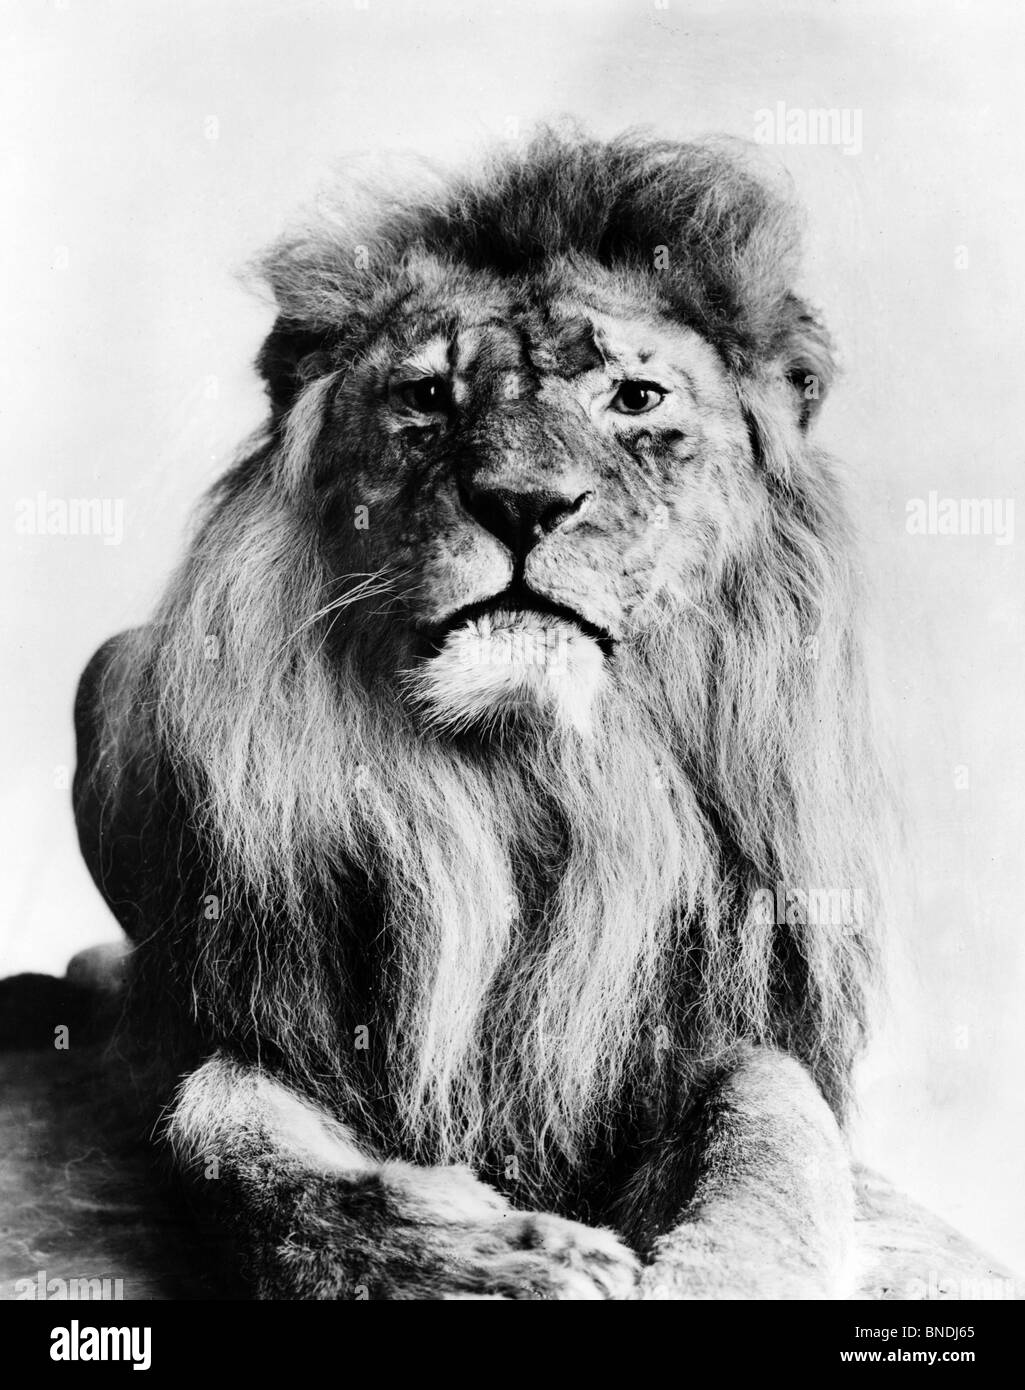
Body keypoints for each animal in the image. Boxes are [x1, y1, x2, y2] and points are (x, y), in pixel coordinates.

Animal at [72, 128, 889, 1300]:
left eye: (634, 399)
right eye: (427, 397)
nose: (522, 502)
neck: (530, 776)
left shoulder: (726, 1021)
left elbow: (772, 1124)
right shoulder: (239, 1029)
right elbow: (219, 1129)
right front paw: (496, 1259)